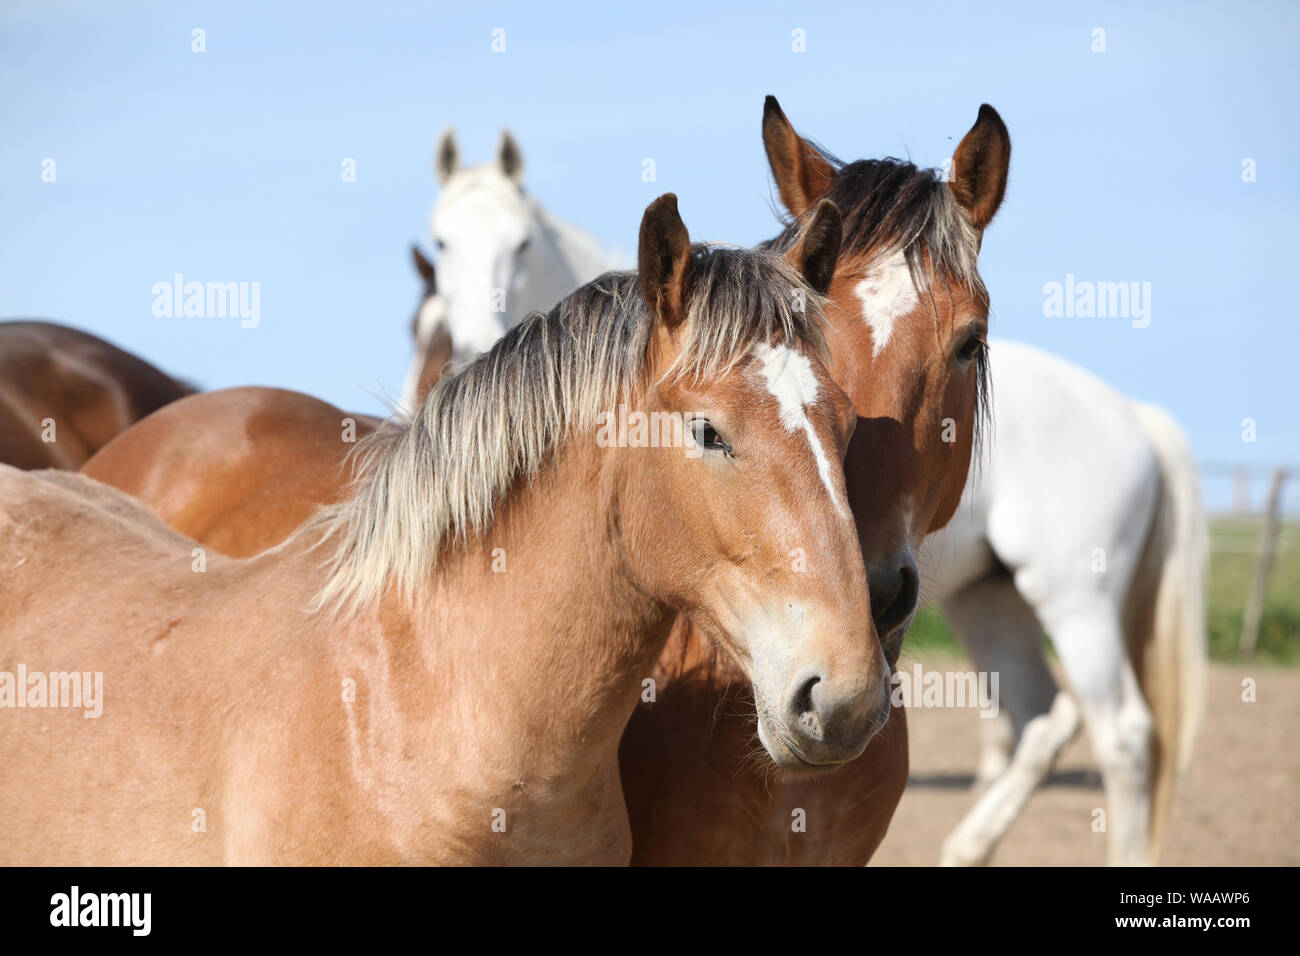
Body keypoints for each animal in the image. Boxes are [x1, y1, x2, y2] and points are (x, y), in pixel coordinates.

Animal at [919, 340, 1208, 867]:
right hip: (988, 606)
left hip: (1078, 608)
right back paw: (968, 847)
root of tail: (1135, 413)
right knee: (1044, 717)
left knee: (1122, 737)